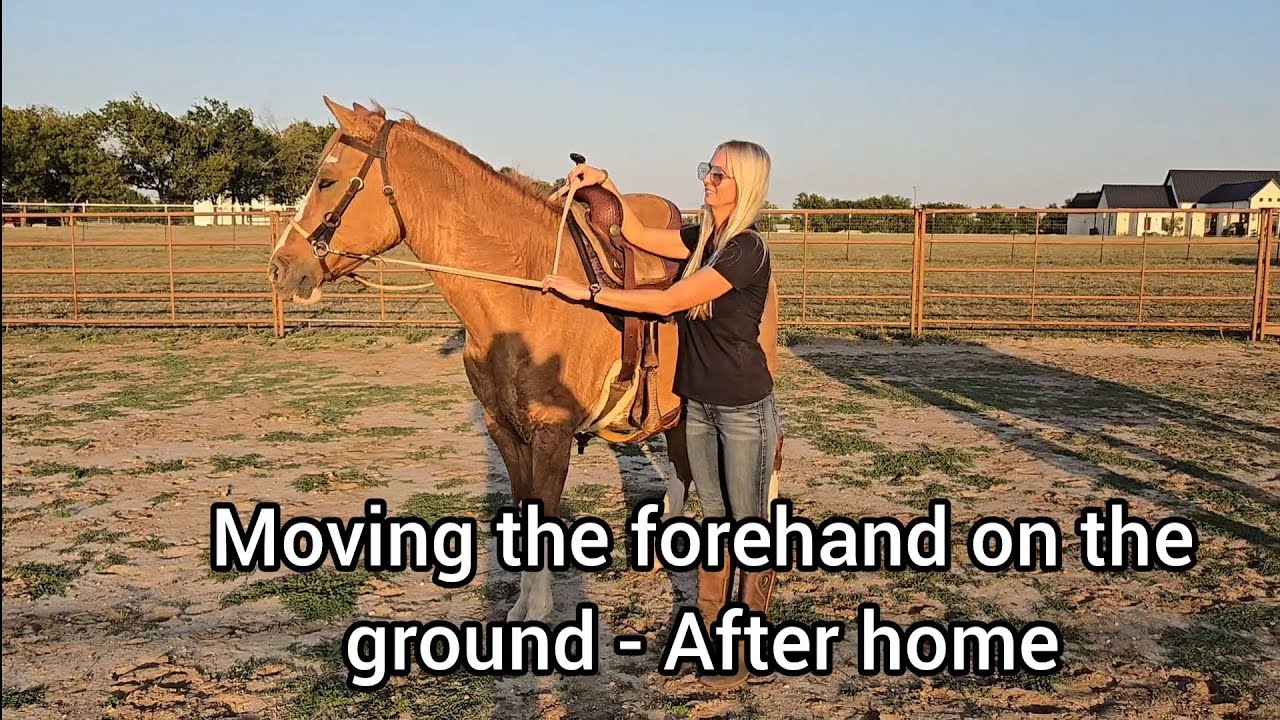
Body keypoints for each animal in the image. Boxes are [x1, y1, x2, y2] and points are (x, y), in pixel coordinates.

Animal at [267, 97, 781, 623]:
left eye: (327, 181)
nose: (280, 266)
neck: (525, 296)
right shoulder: (504, 429)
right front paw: (522, 604)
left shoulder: (551, 432)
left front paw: (536, 609)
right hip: (678, 408)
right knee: (683, 465)